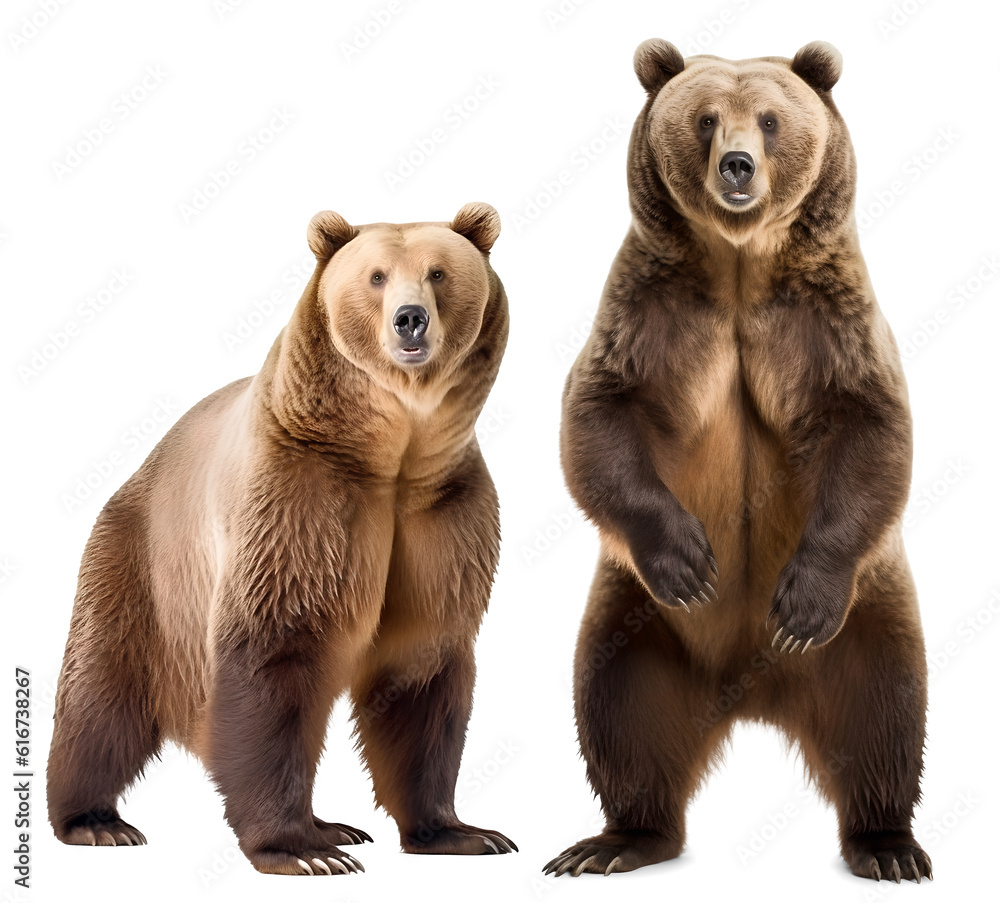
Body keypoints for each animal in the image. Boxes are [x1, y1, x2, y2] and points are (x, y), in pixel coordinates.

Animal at [46, 202, 516, 876]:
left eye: (438, 272)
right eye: (376, 276)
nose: (410, 318)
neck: (393, 452)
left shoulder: (444, 511)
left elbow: (422, 662)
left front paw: (459, 830)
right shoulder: (300, 495)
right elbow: (276, 649)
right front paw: (301, 851)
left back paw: (337, 824)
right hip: (141, 567)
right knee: (103, 691)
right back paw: (95, 821)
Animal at [544, 41, 932, 883]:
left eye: (772, 118)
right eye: (704, 118)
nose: (738, 165)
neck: (740, 264)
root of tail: (750, 690)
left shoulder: (829, 324)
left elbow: (870, 429)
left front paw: (801, 602)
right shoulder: (649, 314)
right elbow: (599, 416)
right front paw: (690, 561)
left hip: (868, 617)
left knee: (886, 712)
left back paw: (887, 843)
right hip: (635, 621)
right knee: (618, 710)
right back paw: (616, 839)